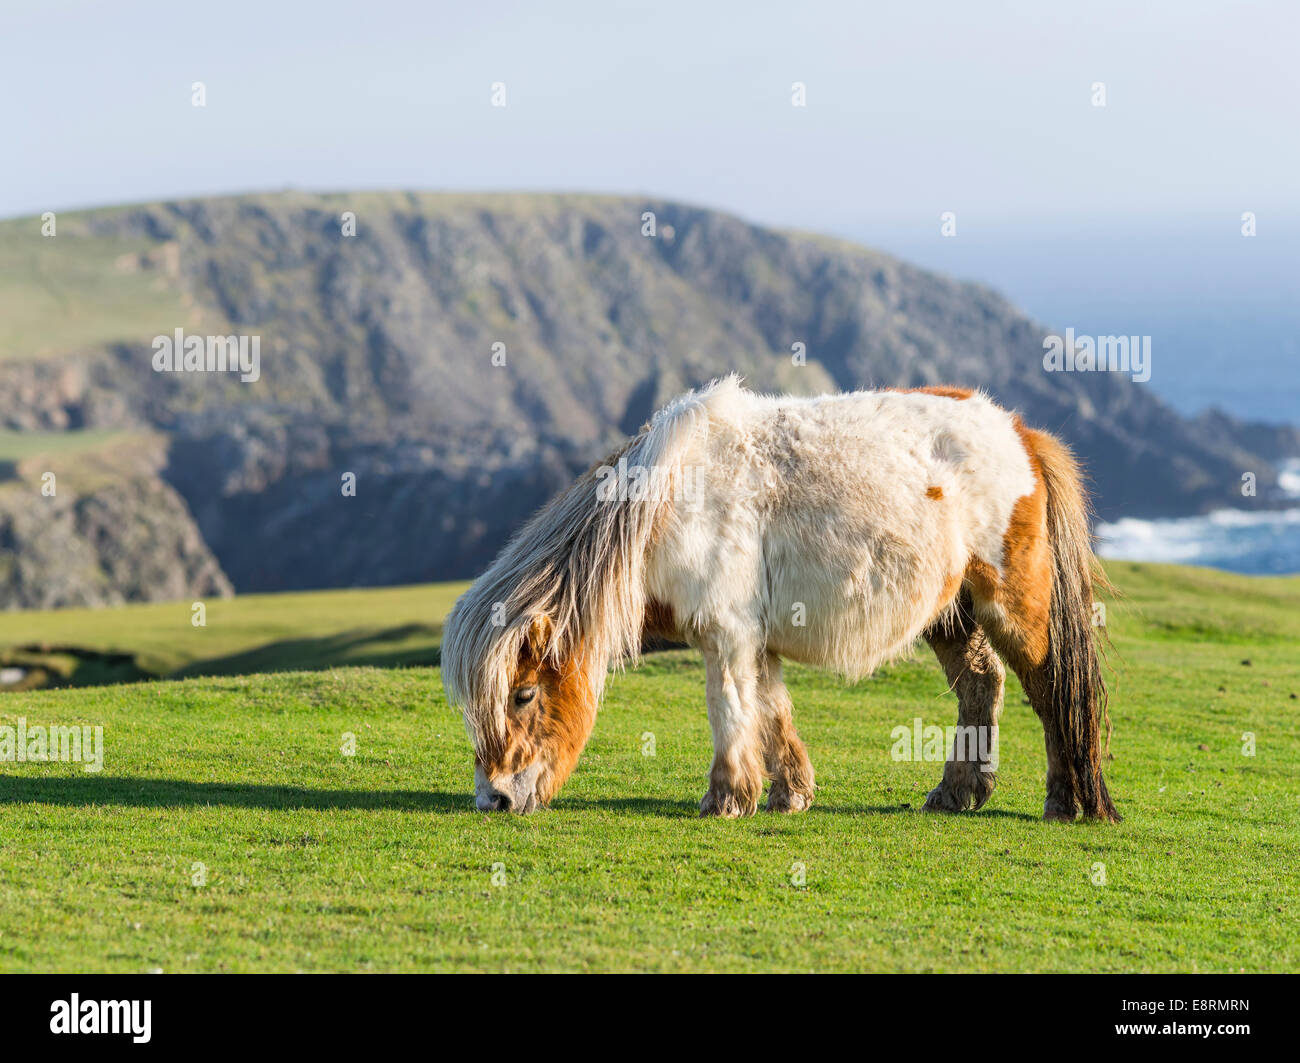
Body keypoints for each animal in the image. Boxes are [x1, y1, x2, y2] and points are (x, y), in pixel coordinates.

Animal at [441, 376, 1120, 822]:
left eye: (524, 694)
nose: (494, 799)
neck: (666, 504)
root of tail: (1021, 434)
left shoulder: (727, 636)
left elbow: (730, 709)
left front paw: (725, 800)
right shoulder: (754, 640)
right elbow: (771, 711)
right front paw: (787, 793)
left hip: (1014, 606)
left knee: (1052, 691)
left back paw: (1066, 802)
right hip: (950, 613)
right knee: (982, 684)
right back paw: (958, 792)